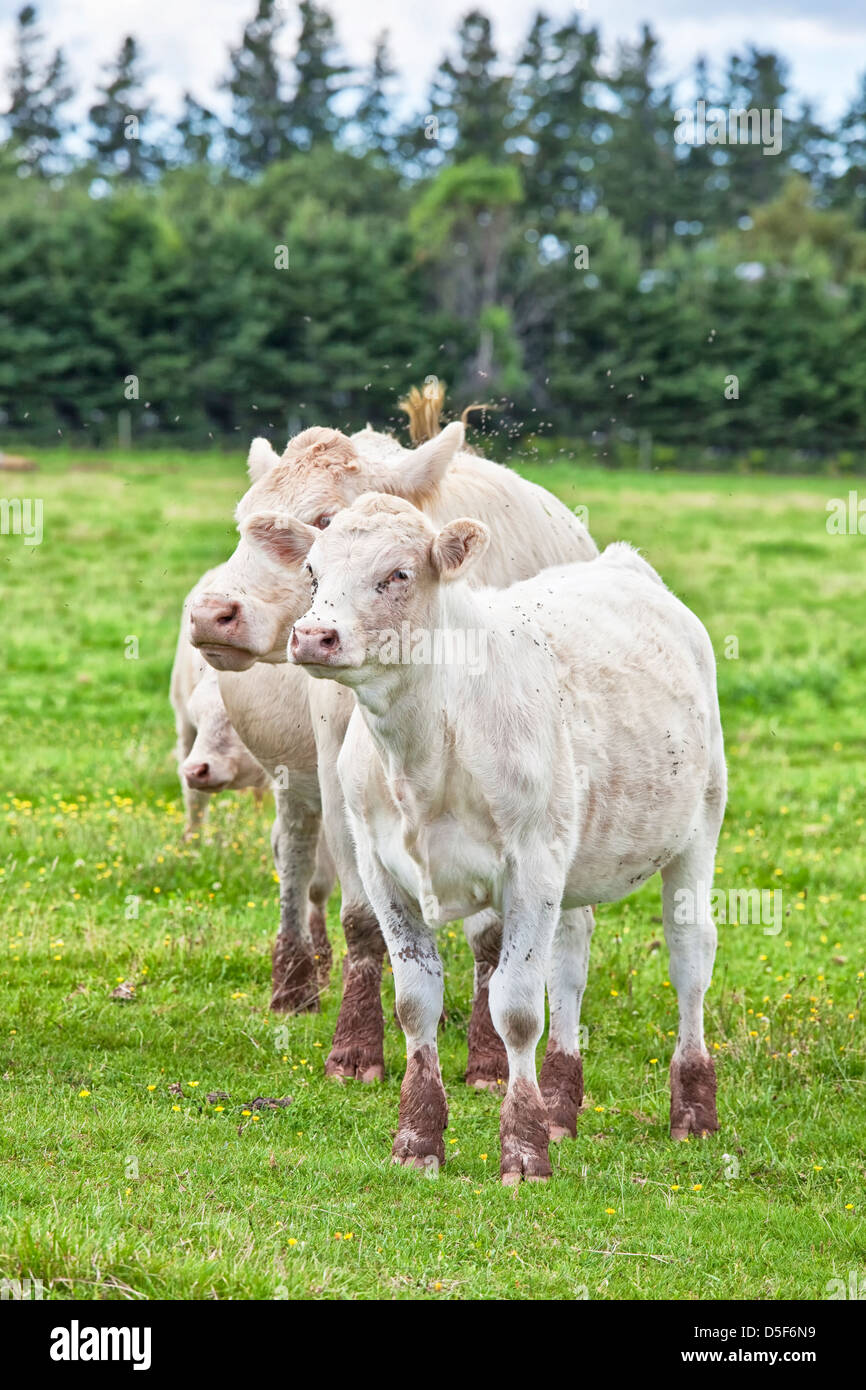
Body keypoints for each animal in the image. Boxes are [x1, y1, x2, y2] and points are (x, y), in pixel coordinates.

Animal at [188, 420, 597, 1084]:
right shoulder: (342, 782)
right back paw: (296, 978)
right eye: (245, 518)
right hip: (294, 783)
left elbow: (493, 936)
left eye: (325, 518)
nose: (209, 614)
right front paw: (355, 1045)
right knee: (298, 863)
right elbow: (361, 916)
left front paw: (487, 1051)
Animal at [247, 492, 726, 1183]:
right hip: (573, 860)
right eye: (312, 572)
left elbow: (517, 1010)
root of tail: (621, 565)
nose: (314, 635)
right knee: (571, 961)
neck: (430, 746)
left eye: (398, 574)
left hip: (698, 830)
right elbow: (416, 1001)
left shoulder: (531, 866)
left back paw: (693, 1111)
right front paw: (418, 1137)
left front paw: (524, 1148)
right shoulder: (382, 871)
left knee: (690, 959)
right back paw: (561, 1105)